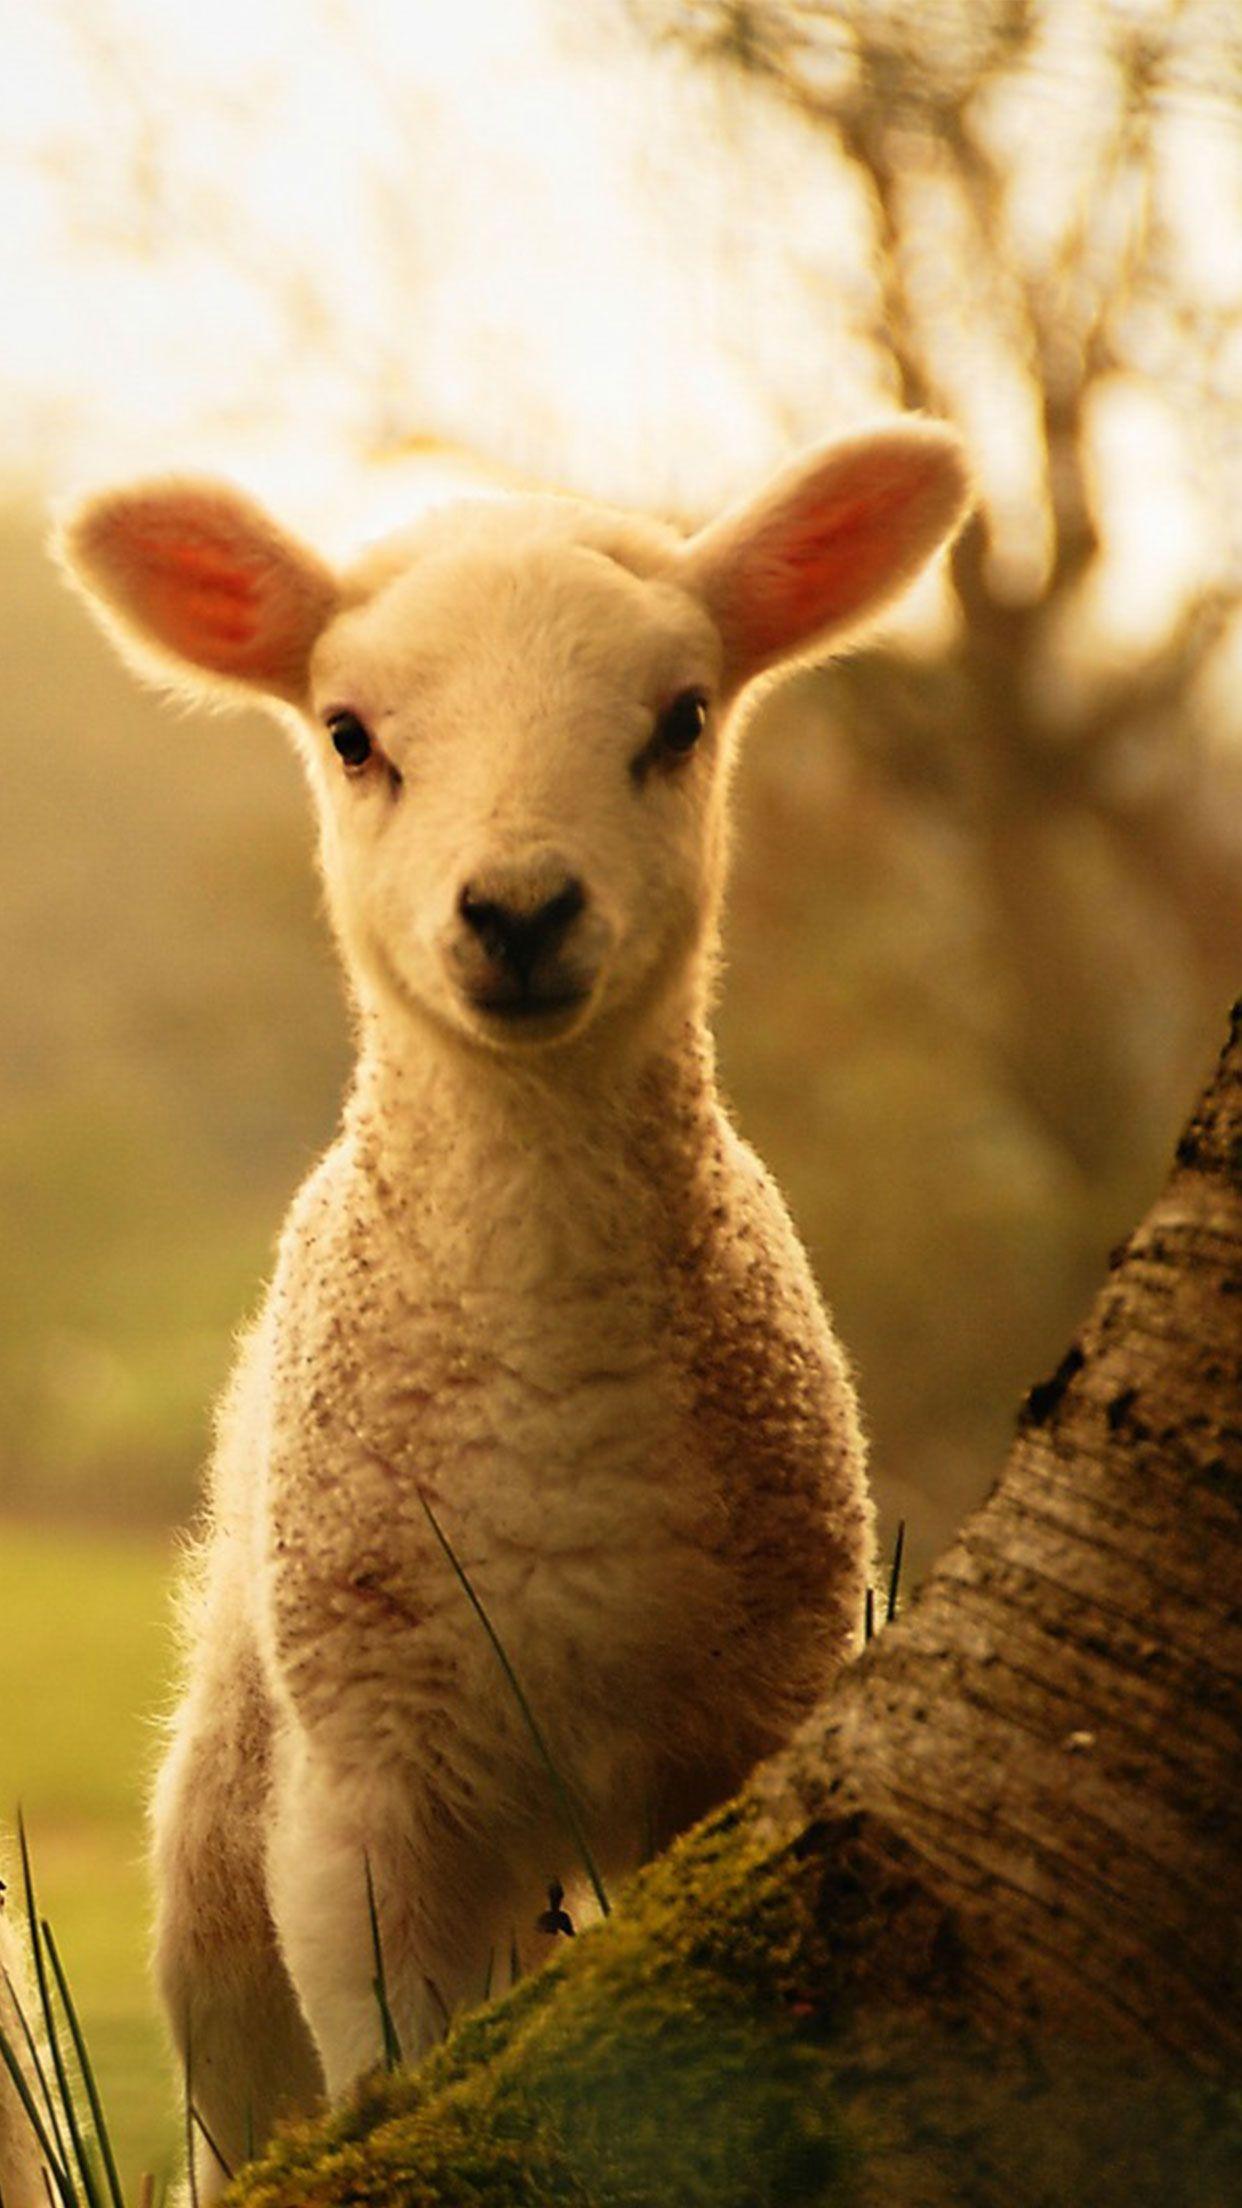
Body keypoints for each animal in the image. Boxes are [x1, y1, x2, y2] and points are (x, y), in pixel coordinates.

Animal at [55, 419, 970, 2201]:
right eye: (350, 736)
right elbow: (387, 2068)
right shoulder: (370, 1791)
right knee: (236, 2094)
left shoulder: (742, 1727)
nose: (522, 910)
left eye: (680, 719)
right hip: (224, 1837)